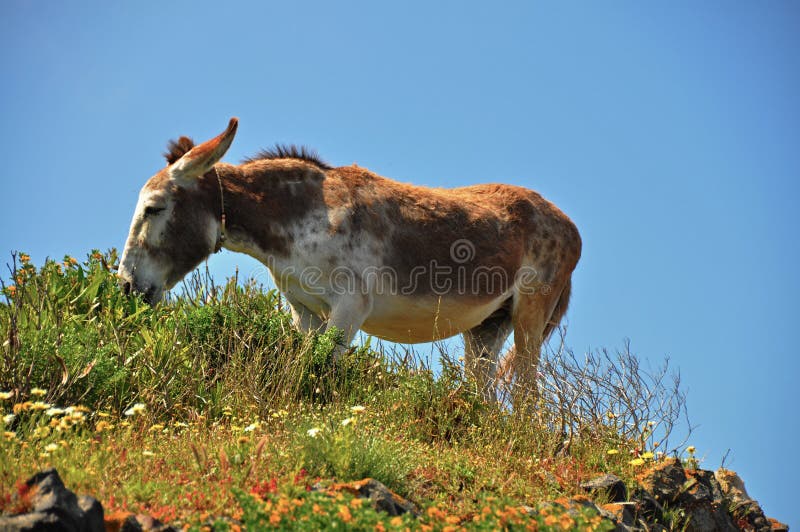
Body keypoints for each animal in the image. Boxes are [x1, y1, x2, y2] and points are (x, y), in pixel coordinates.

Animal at [118, 118, 581, 402]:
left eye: (154, 208)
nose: (125, 286)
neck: (299, 215)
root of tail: (570, 226)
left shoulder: (350, 307)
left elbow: (322, 373)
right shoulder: (304, 310)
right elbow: (304, 368)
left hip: (530, 314)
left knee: (527, 395)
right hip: (487, 326)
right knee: (486, 394)